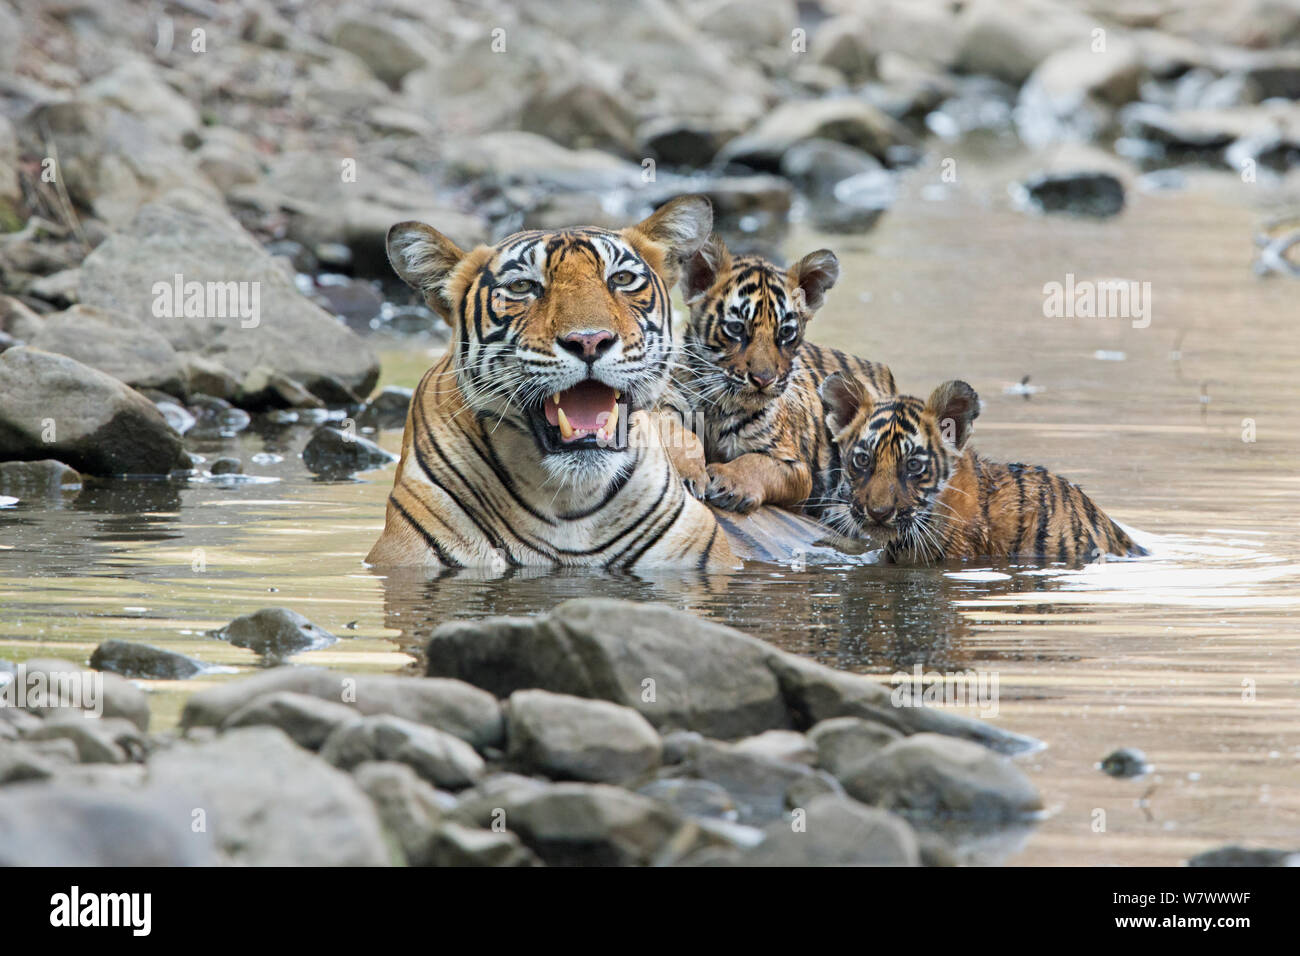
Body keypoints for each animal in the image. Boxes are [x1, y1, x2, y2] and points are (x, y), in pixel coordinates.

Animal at [666, 234, 895, 516]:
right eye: (736, 328)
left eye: (786, 332)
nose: (763, 380)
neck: (718, 408)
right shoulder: (667, 404)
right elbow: (679, 436)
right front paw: (689, 473)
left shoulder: (796, 468)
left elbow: (758, 464)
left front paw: (729, 482)